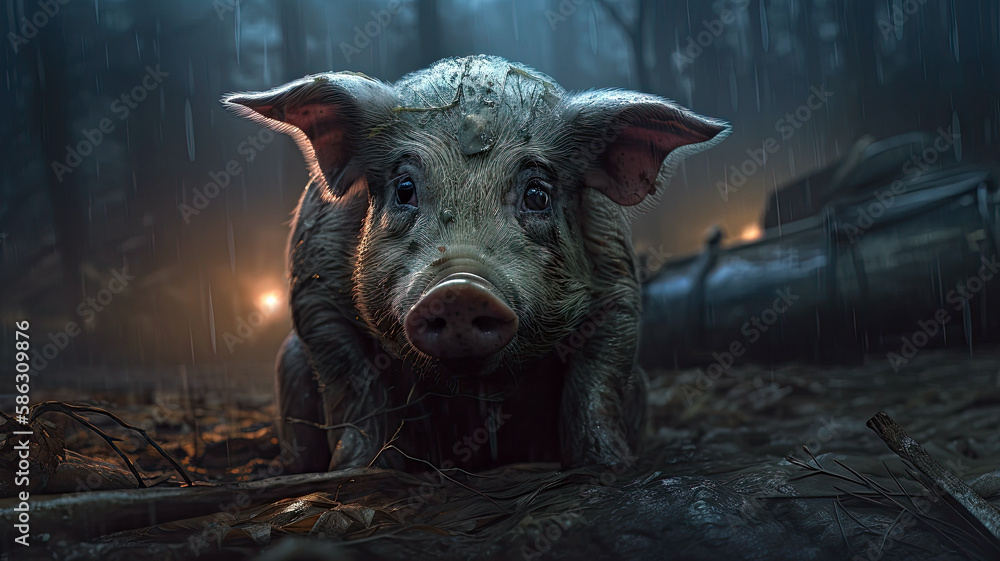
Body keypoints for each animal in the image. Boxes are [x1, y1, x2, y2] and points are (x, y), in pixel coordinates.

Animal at [224, 55, 728, 473]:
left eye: (537, 194)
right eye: (405, 188)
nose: (460, 288)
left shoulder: (619, 287)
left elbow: (595, 388)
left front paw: (610, 467)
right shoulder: (313, 289)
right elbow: (353, 390)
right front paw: (355, 475)